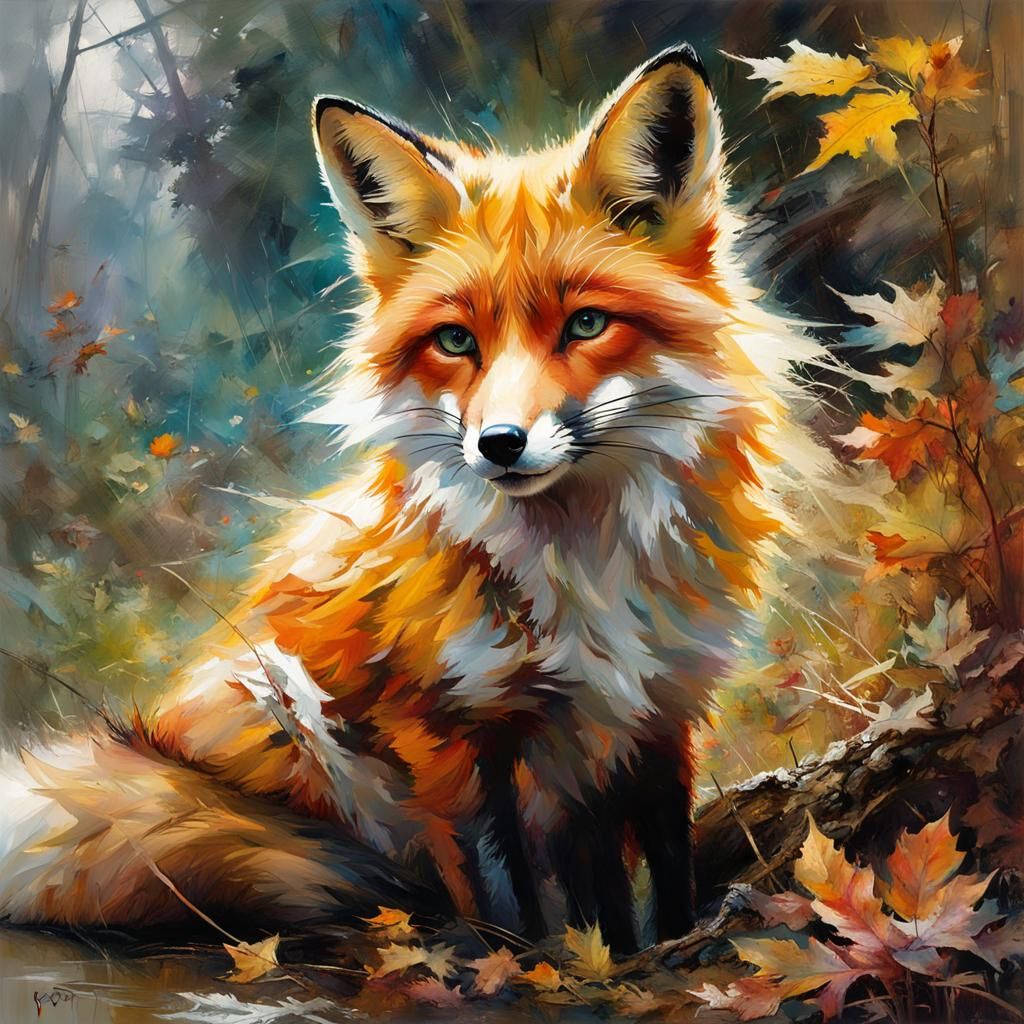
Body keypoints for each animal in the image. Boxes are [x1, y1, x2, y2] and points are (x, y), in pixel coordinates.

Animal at [0, 44, 823, 953]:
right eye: (455, 340)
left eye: (585, 325)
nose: (499, 444)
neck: (584, 574)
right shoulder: (443, 727)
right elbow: (505, 898)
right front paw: (533, 967)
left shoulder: (662, 711)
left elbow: (666, 878)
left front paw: (660, 945)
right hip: (280, 700)